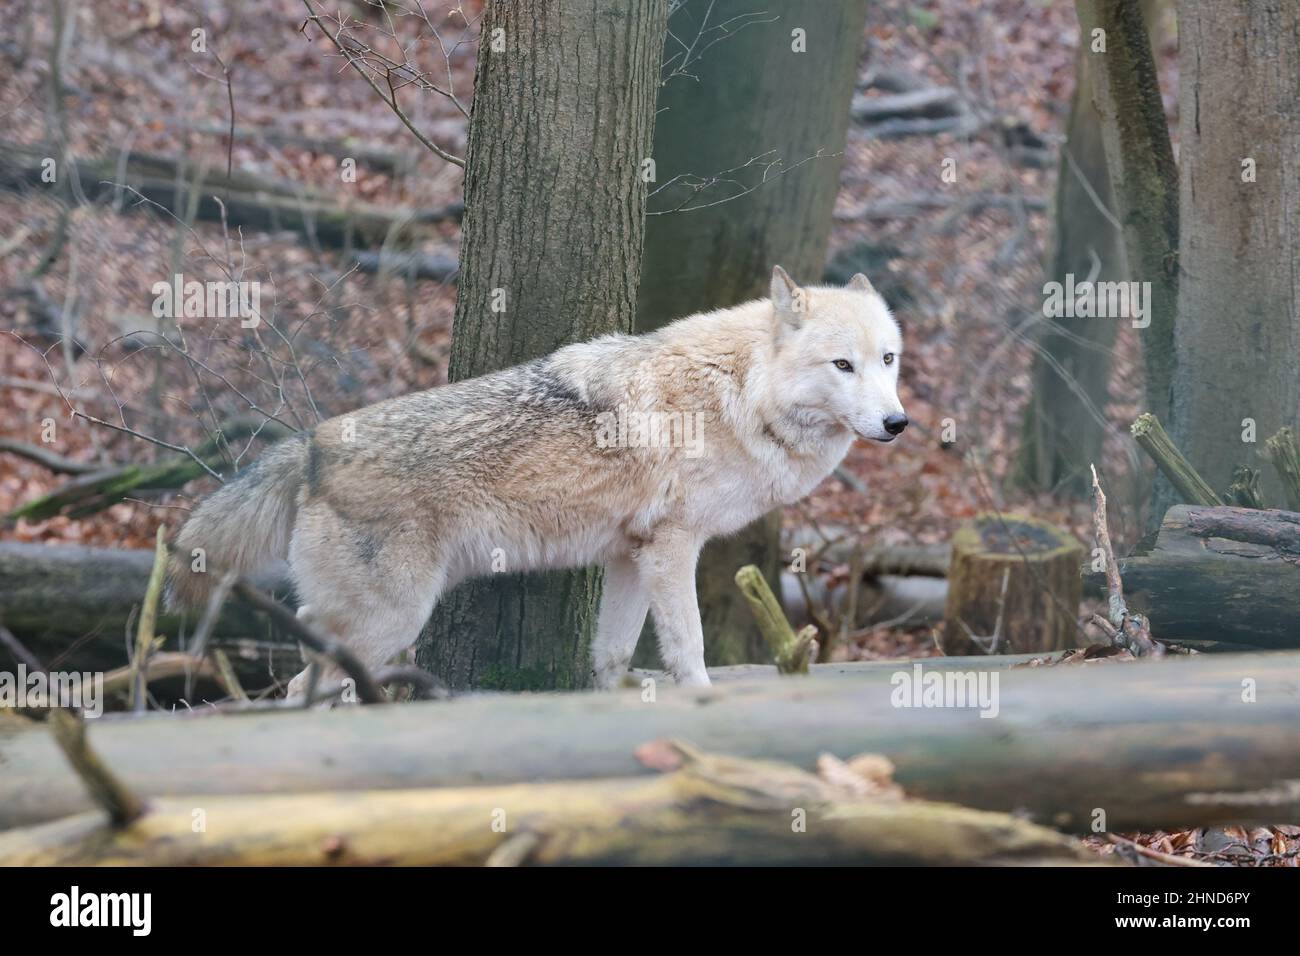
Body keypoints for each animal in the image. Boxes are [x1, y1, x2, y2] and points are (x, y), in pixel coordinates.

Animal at [167, 266, 906, 694]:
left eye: (888, 359)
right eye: (842, 365)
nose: (898, 422)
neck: (740, 394)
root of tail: (312, 446)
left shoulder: (632, 556)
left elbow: (612, 657)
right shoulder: (674, 549)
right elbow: (690, 650)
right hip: (390, 621)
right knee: (301, 692)